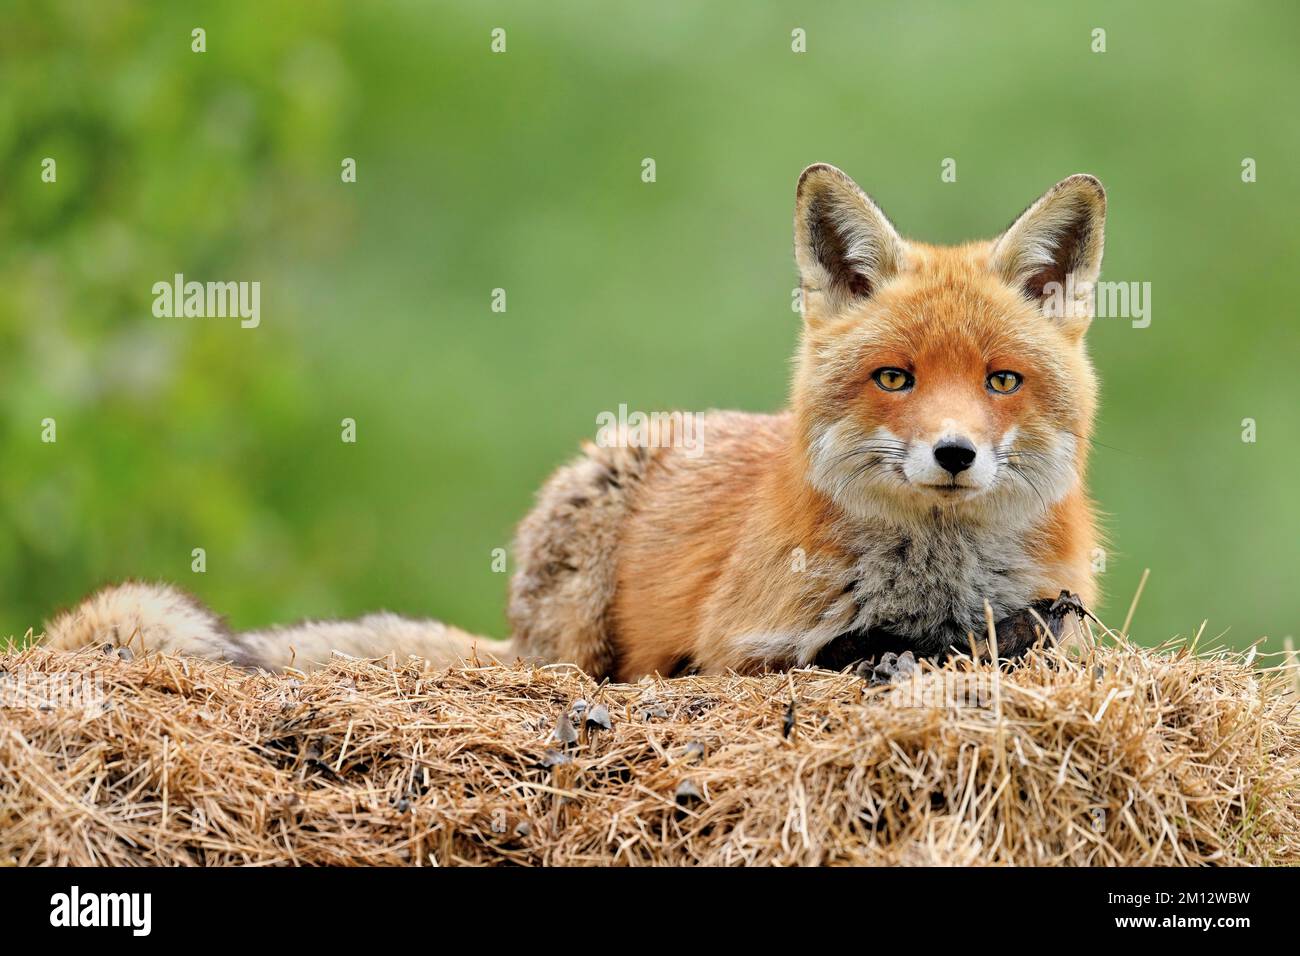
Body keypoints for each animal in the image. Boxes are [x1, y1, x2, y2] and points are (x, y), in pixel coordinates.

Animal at [43, 164, 1105, 683]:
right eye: (895, 378)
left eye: (1001, 381)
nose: (954, 453)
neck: (937, 582)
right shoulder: (738, 649)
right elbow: (843, 652)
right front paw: (922, 649)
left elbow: (1032, 635)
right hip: (581, 612)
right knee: (592, 679)